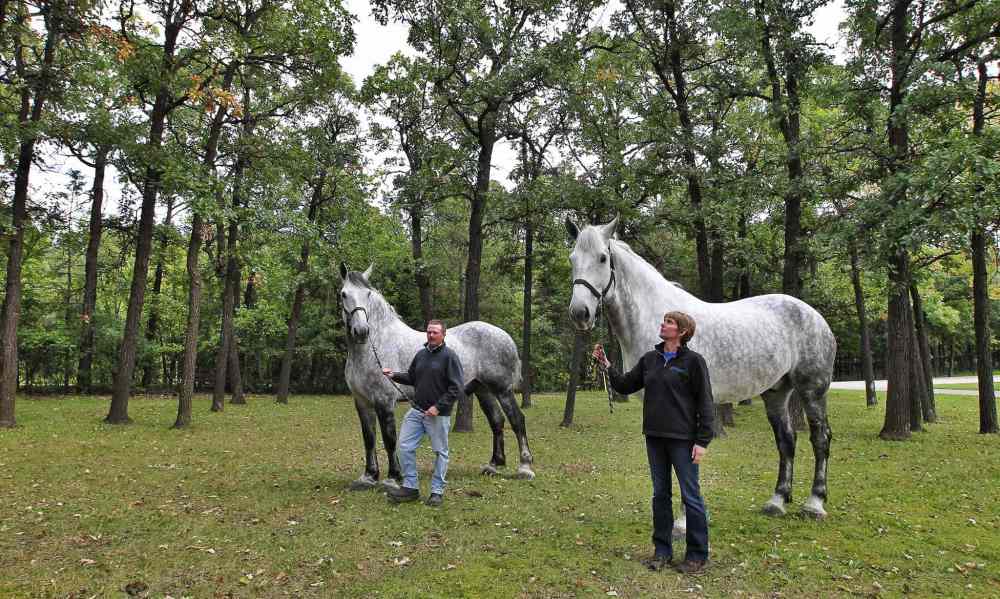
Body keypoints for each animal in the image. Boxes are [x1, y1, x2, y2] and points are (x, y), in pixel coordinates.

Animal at [338, 262, 534, 491]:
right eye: (344, 294)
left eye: (368, 294)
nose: (361, 331)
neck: (374, 346)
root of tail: (505, 336)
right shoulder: (362, 402)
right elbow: (369, 438)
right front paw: (368, 477)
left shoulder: (384, 401)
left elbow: (389, 439)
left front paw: (393, 478)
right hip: (482, 390)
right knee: (497, 421)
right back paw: (494, 465)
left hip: (502, 390)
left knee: (517, 420)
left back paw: (525, 467)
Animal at [566, 218, 835, 520]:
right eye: (572, 258)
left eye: (602, 258)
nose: (580, 313)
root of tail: (815, 316)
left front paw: (683, 521)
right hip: (776, 392)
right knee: (786, 440)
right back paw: (777, 501)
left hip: (812, 391)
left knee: (820, 439)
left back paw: (815, 503)